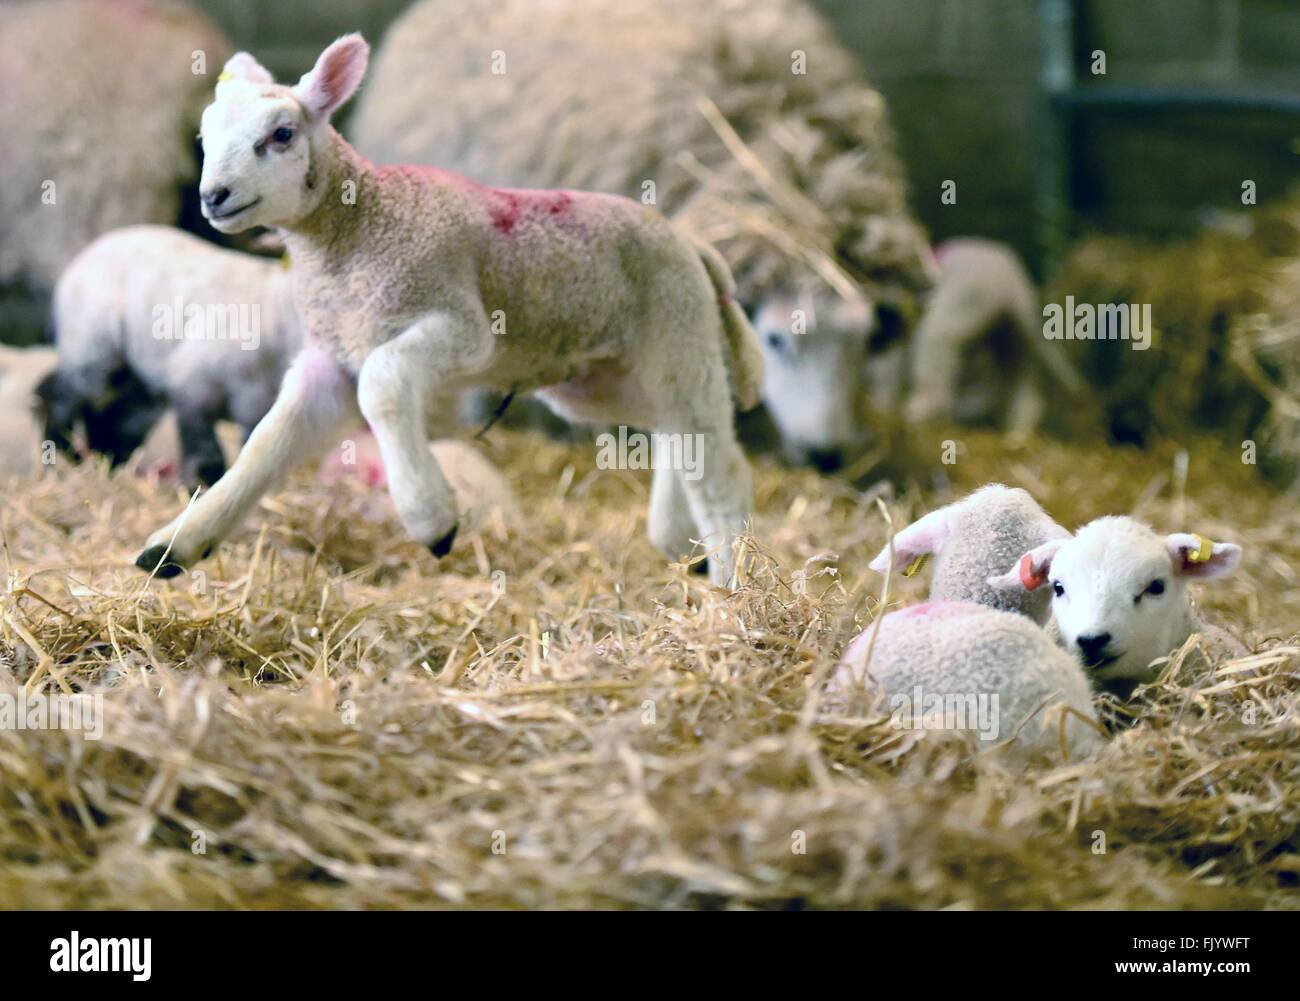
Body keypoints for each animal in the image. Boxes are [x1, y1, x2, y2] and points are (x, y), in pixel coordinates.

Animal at [38, 225, 302, 486]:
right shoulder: (192, 387)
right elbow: (206, 457)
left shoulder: (260, 412)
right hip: (88, 347)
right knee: (64, 399)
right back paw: (64, 461)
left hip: (136, 377)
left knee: (118, 422)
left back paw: (106, 468)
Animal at [134, 35, 762, 588]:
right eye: (205, 136)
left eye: (282, 134)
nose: (213, 196)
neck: (356, 231)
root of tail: (690, 242)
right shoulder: (330, 362)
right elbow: (266, 445)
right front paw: (178, 542)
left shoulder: (458, 323)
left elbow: (384, 382)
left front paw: (431, 517)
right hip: (606, 377)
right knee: (682, 438)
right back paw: (679, 538)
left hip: (677, 339)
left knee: (720, 468)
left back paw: (731, 592)